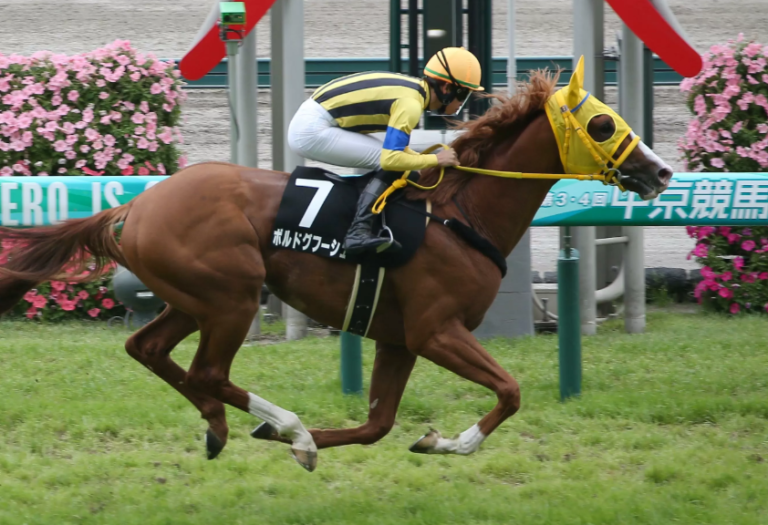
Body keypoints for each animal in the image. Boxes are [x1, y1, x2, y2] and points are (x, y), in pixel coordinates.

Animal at [0, 66, 673, 472]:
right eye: (603, 123)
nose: (662, 171)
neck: (461, 213)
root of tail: (135, 204)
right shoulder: (436, 331)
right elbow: (508, 391)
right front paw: (450, 442)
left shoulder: (400, 338)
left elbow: (378, 424)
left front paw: (419, 439)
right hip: (232, 296)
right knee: (207, 371)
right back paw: (285, 426)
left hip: (193, 298)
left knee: (152, 351)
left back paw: (223, 427)